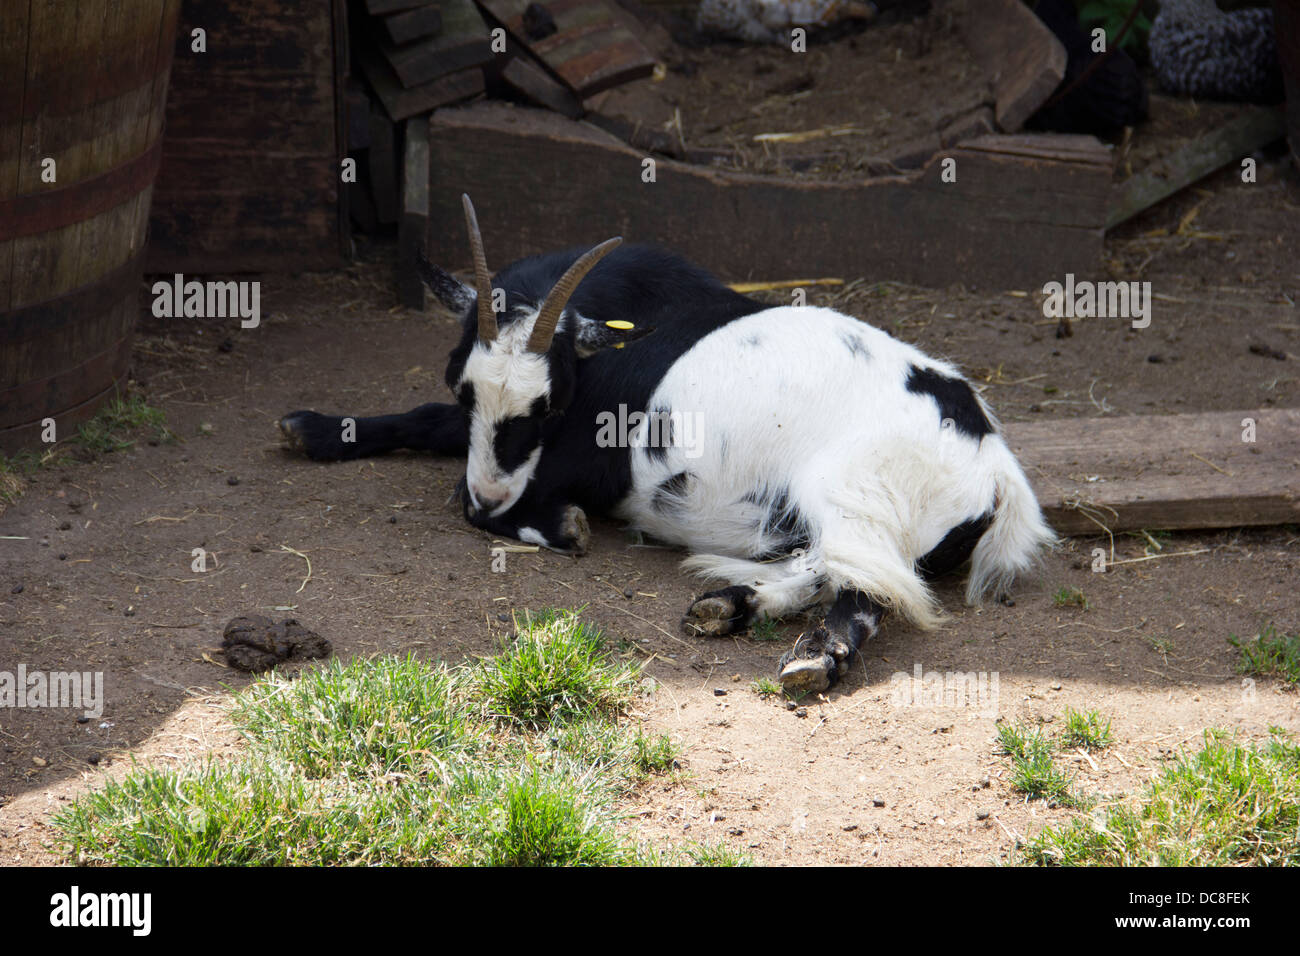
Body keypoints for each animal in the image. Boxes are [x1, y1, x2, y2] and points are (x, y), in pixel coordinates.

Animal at [279, 196, 1056, 693]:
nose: (493, 489)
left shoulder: (571, 458)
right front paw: (314, 427)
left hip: (849, 489)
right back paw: (731, 605)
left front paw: (558, 525)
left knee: (869, 586)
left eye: (550, 400)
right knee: (833, 567)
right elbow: (429, 420)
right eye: (461, 382)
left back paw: (812, 658)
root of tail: (996, 468)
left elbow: (475, 504)